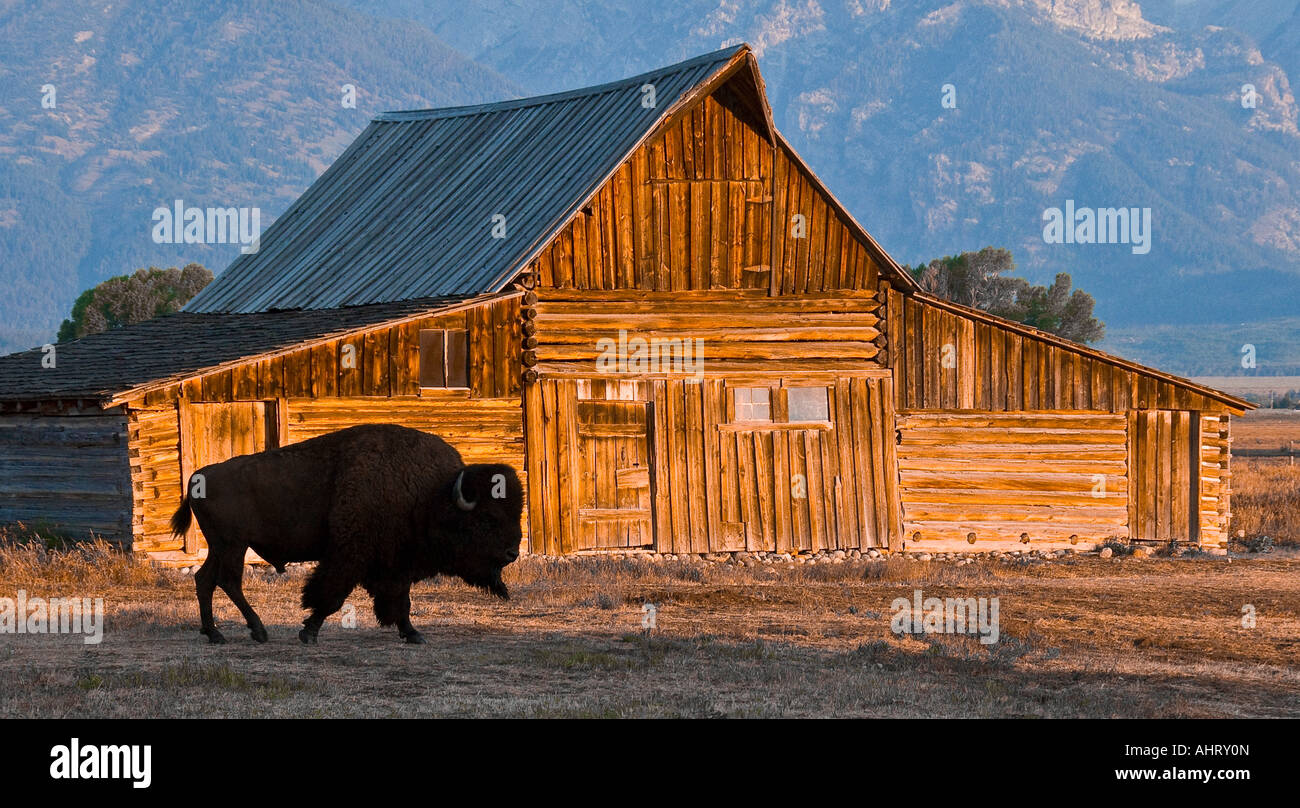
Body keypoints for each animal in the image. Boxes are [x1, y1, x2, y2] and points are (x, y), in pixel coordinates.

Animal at [169, 424, 523, 645]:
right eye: (488, 518)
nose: (512, 553)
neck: (431, 495)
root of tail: (198, 476)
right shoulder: (350, 555)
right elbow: (331, 594)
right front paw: (308, 633)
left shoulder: (396, 565)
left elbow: (401, 601)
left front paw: (413, 634)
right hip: (234, 545)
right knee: (229, 581)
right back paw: (258, 631)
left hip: (221, 546)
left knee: (205, 580)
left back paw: (215, 635)